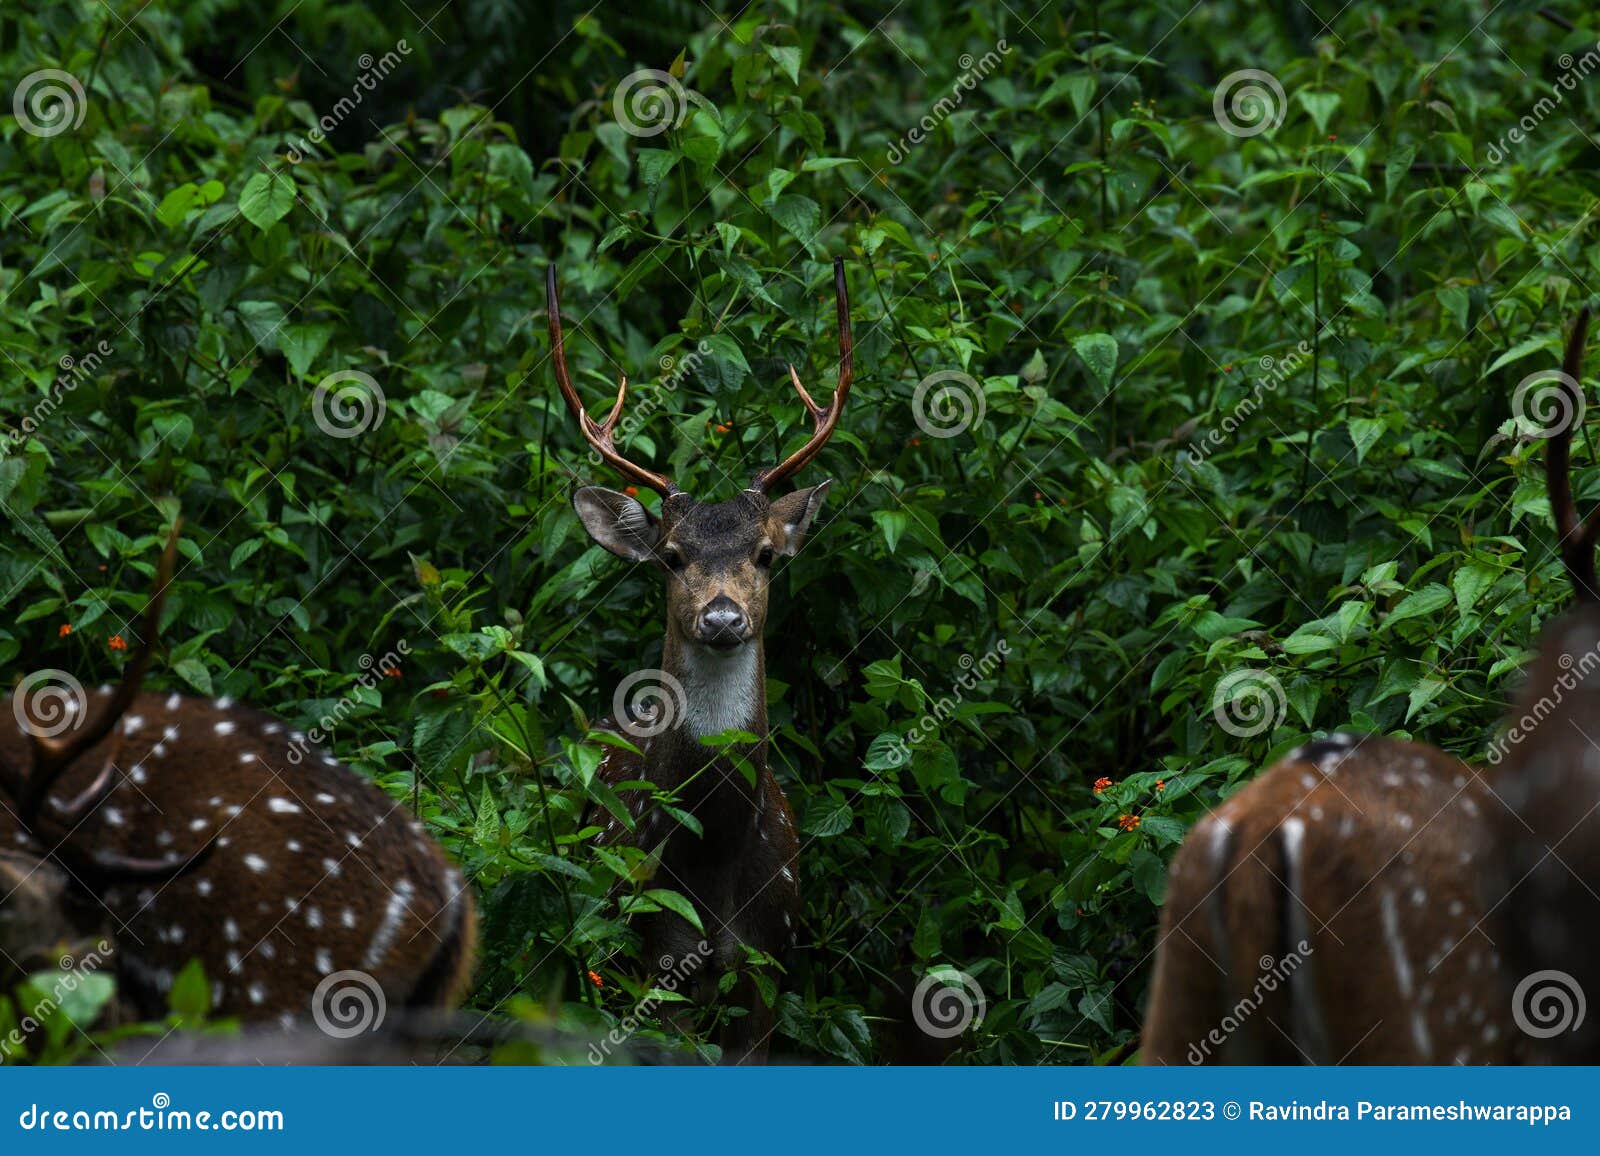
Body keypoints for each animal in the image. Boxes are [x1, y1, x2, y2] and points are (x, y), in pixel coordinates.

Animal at [547, 259, 852, 1064]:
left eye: (767, 554)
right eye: (672, 557)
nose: (721, 616)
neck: (711, 872)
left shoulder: (768, 958)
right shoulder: (654, 959)